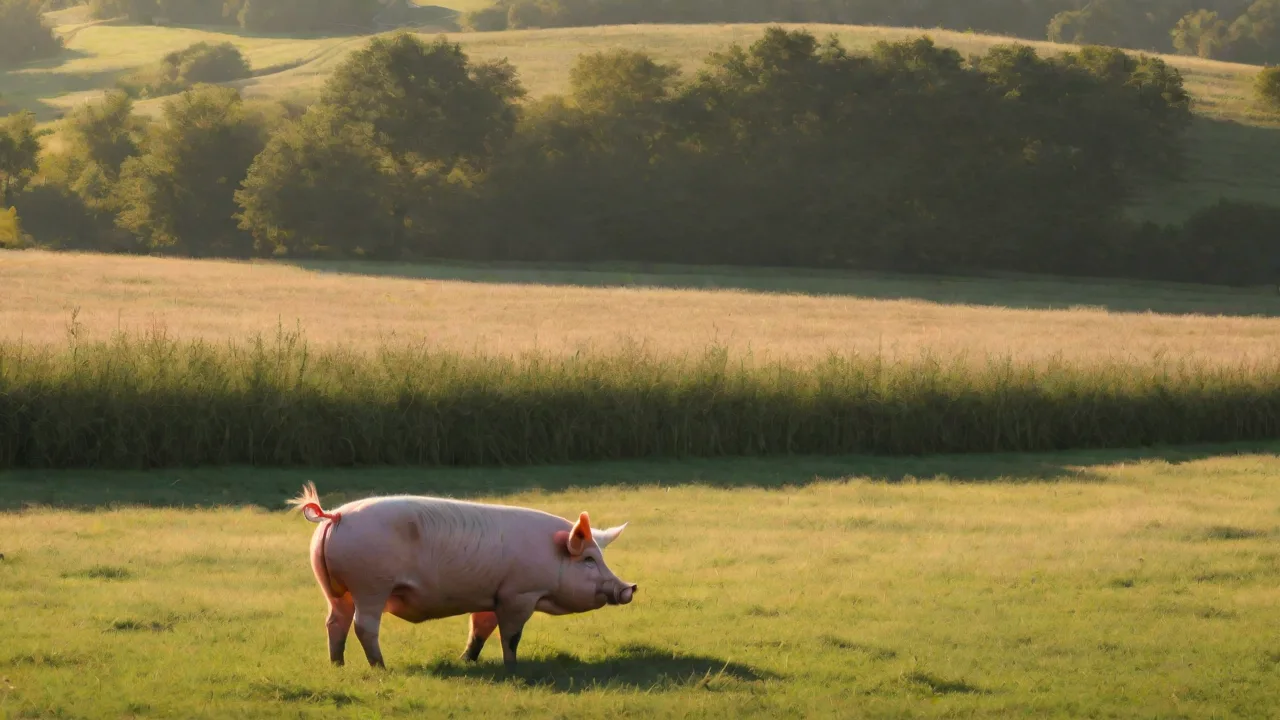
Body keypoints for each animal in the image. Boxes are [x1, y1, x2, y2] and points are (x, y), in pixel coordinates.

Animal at [287, 482, 638, 670]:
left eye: (600, 556)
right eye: (589, 560)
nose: (630, 587)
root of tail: (336, 515)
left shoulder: (492, 595)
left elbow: (480, 629)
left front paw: (467, 660)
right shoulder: (519, 594)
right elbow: (511, 635)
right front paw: (513, 667)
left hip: (333, 589)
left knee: (335, 622)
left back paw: (338, 665)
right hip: (371, 585)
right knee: (363, 626)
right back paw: (381, 667)